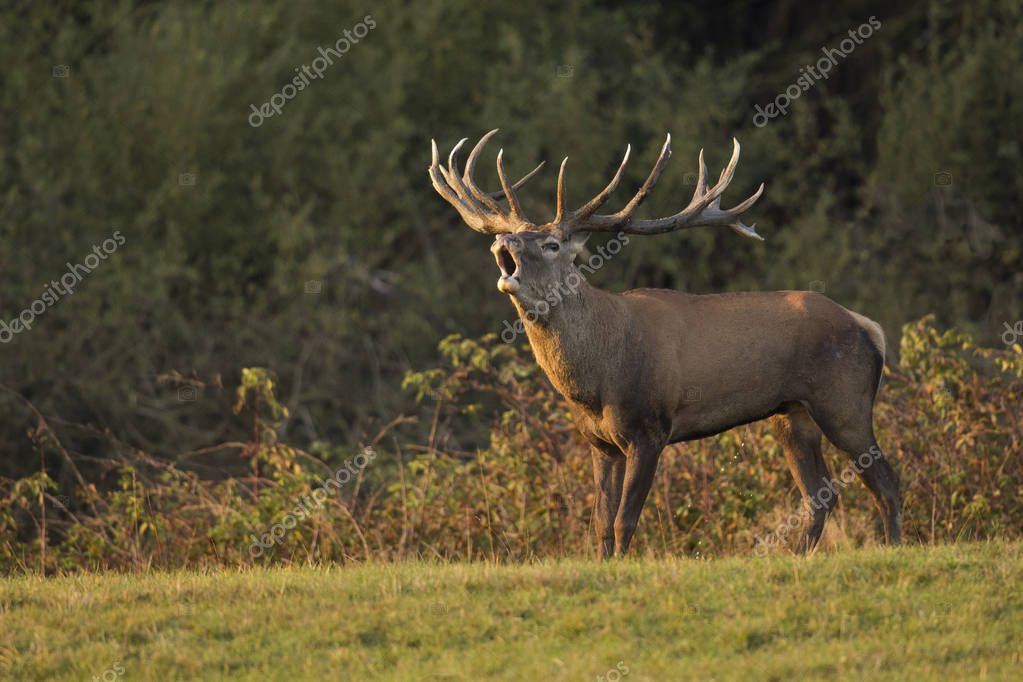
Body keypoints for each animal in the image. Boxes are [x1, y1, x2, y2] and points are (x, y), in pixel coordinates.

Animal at [428, 129, 902, 559]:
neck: (595, 379)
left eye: (551, 243)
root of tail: (869, 328)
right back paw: (798, 555)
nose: (502, 240)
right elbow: (600, 522)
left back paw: (895, 546)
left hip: (843, 400)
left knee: (886, 481)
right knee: (819, 494)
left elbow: (625, 519)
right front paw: (603, 565)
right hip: (793, 414)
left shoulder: (649, 427)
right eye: (514, 235)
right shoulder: (599, 442)